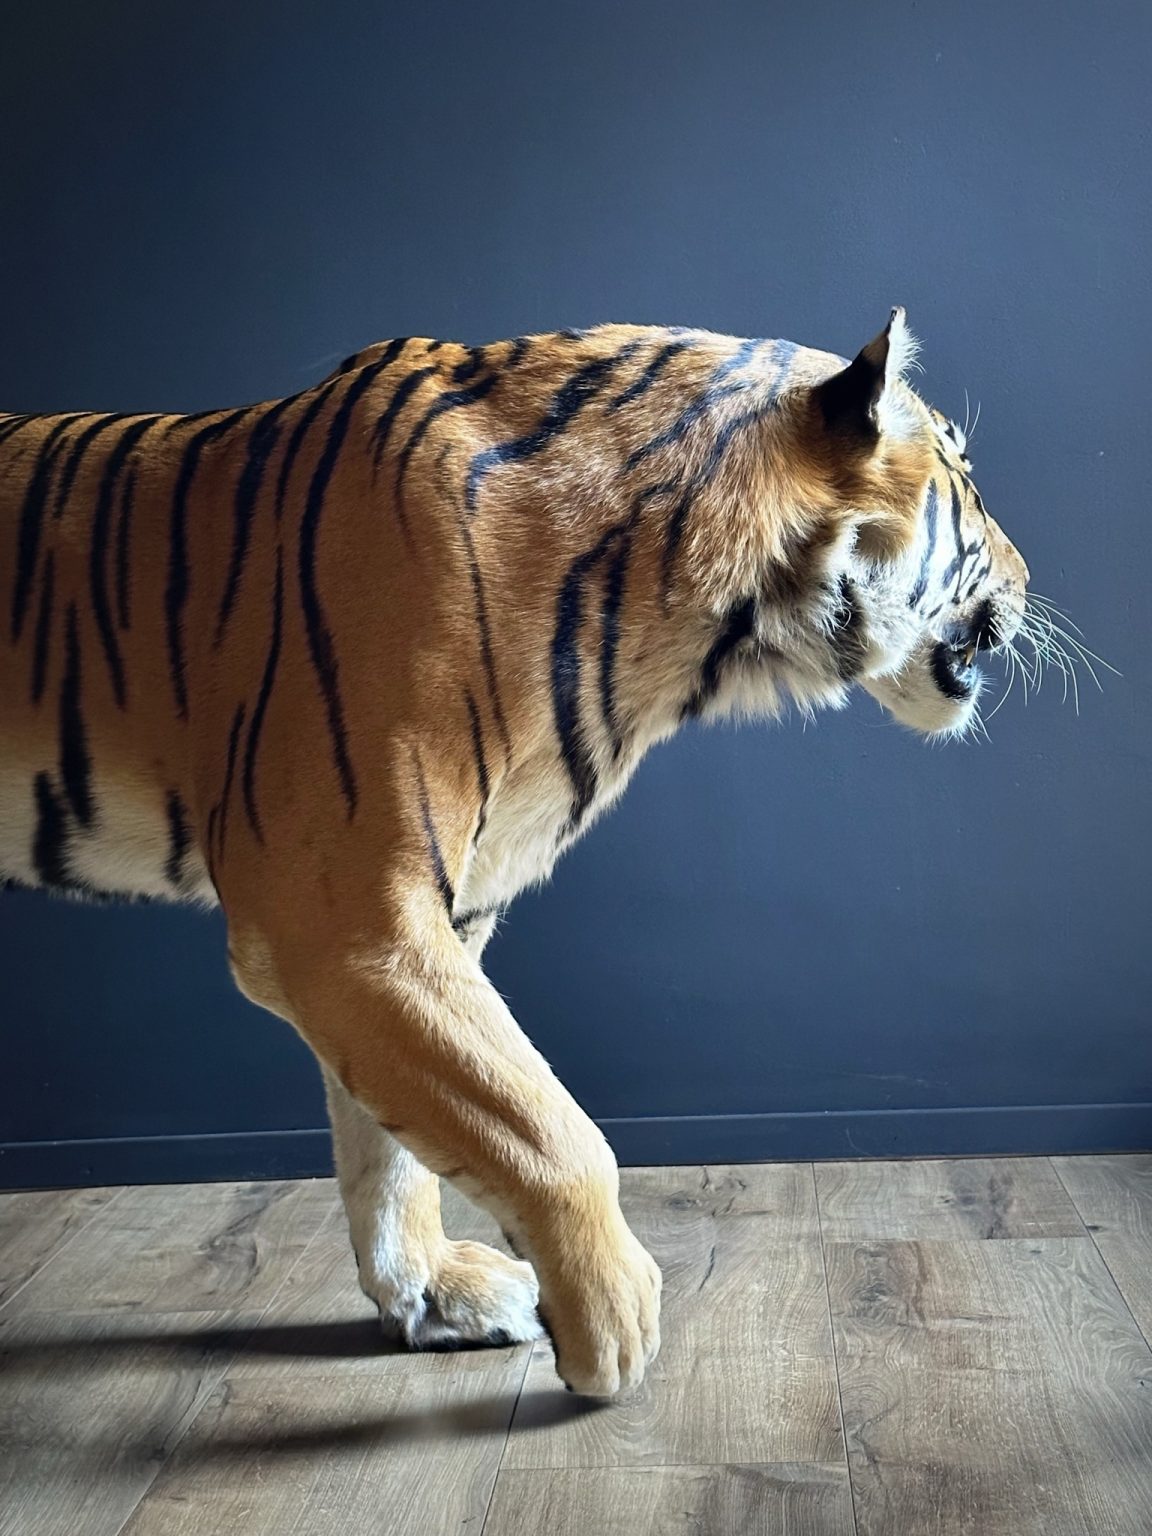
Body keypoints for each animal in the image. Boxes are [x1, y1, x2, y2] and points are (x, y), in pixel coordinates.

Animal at [0, 307, 1030, 1397]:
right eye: (964, 474)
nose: (1030, 578)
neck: (691, 635)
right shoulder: (346, 923)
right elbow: (542, 1128)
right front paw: (615, 1325)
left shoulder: (422, 927)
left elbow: (396, 1145)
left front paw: (427, 1297)